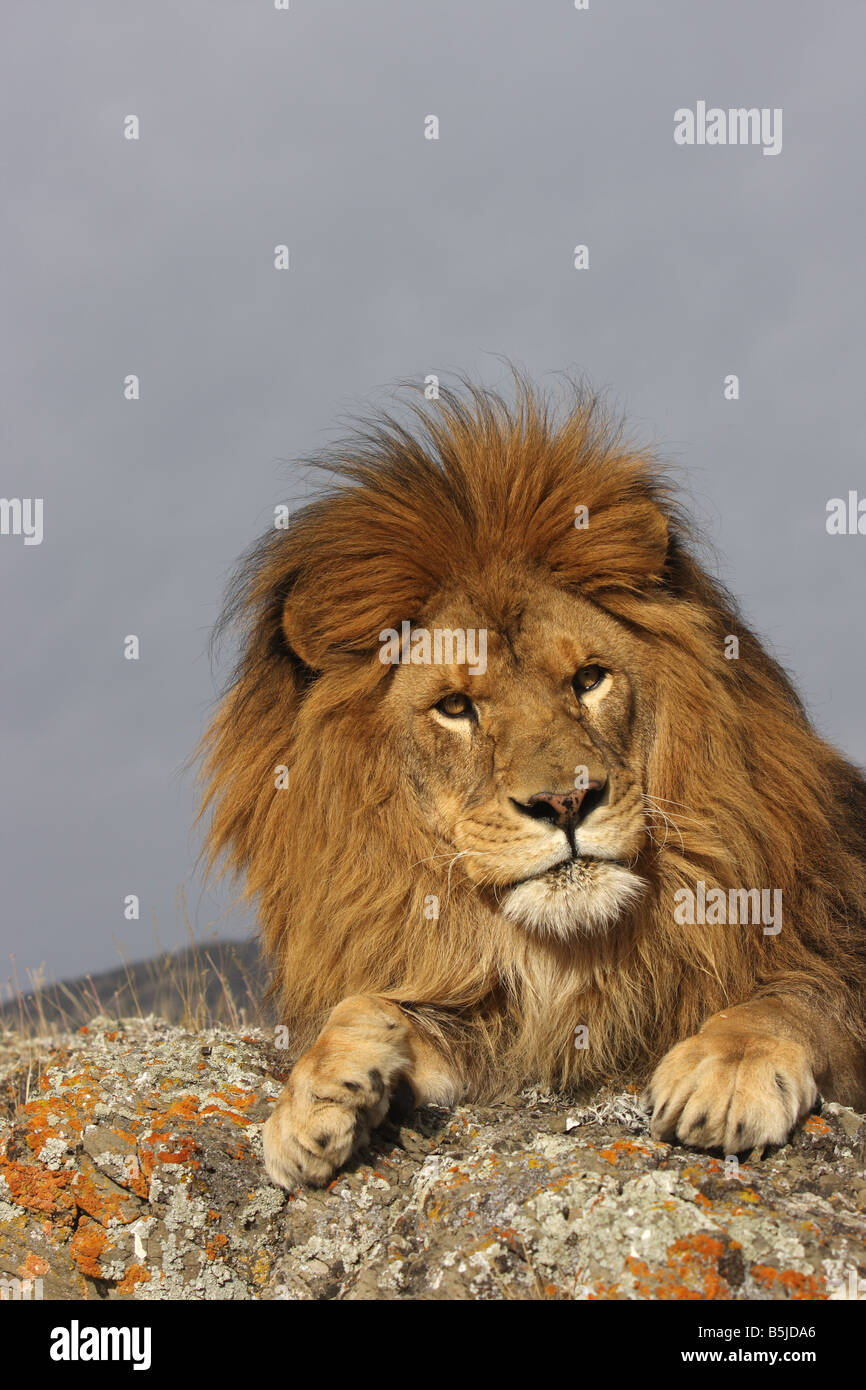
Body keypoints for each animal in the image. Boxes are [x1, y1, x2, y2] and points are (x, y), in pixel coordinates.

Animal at [199, 380, 866, 1189]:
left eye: (588, 678)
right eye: (456, 707)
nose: (565, 802)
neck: (572, 952)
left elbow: (804, 998)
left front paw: (727, 1070)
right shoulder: (495, 1024)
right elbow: (372, 1007)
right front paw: (315, 1097)